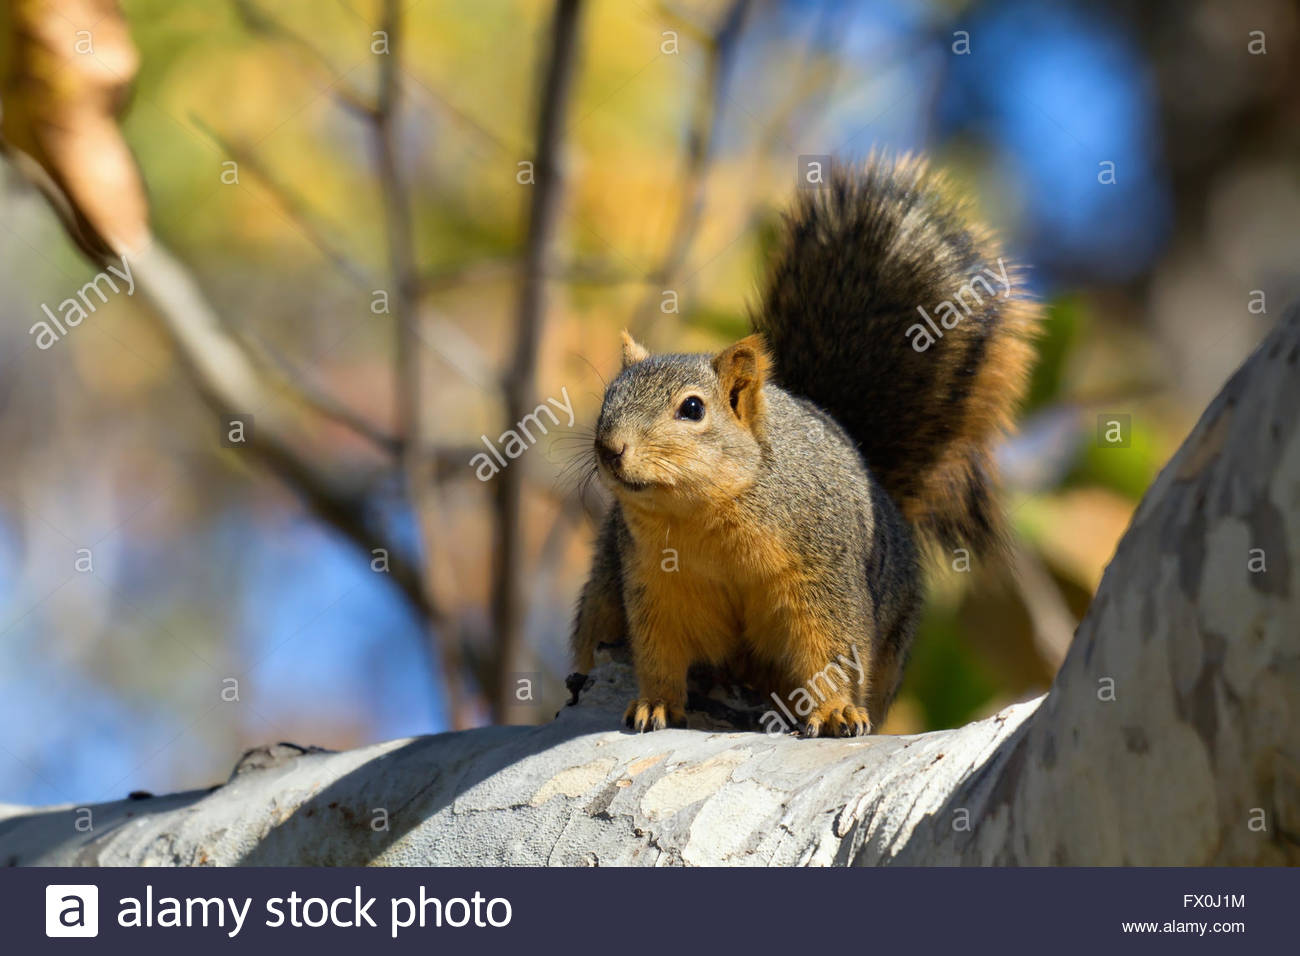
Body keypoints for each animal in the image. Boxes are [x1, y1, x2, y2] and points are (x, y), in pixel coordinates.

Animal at [567, 154, 1040, 737]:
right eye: (608, 396)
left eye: (693, 409)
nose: (610, 448)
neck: (706, 515)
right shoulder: (655, 580)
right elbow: (659, 647)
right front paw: (655, 701)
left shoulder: (823, 572)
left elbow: (830, 646)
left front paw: (836, 711)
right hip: (605, 590)